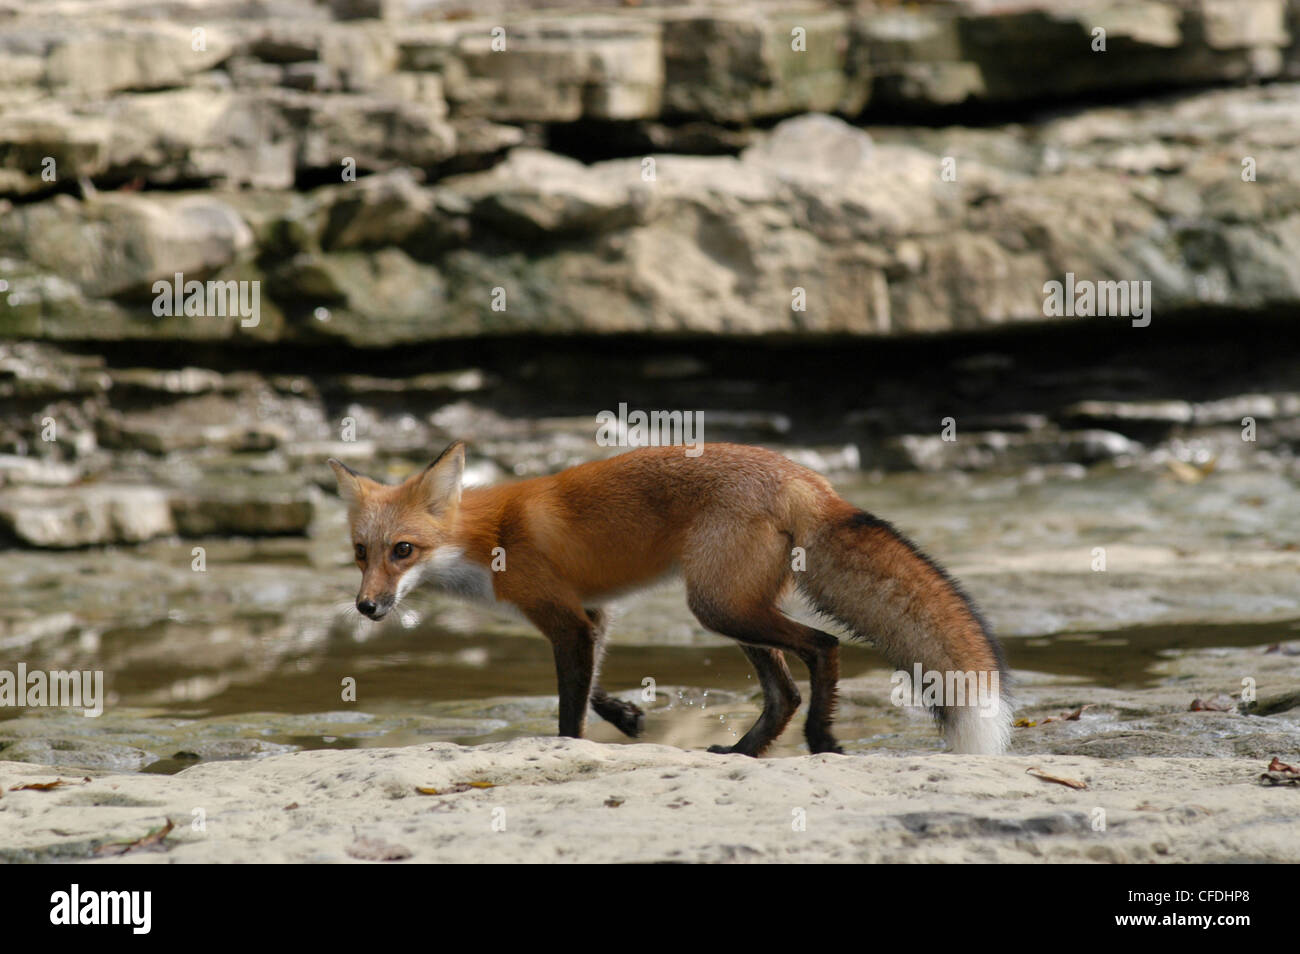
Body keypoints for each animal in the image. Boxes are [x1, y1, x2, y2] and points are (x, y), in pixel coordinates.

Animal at [328, 441, 1011, 757]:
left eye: (403, 550)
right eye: (361, 551)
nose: (366, 607)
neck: (487, 538)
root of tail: (807, 479)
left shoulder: (565, 620)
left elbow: (568, 711)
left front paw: (574, 746)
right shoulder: (590, 613)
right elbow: (592, 686)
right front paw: (627, 716)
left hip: (717, 606)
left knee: (823, 645)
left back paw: (820, 738)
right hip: (732, 608)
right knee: (783, 691)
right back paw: (743, 752)